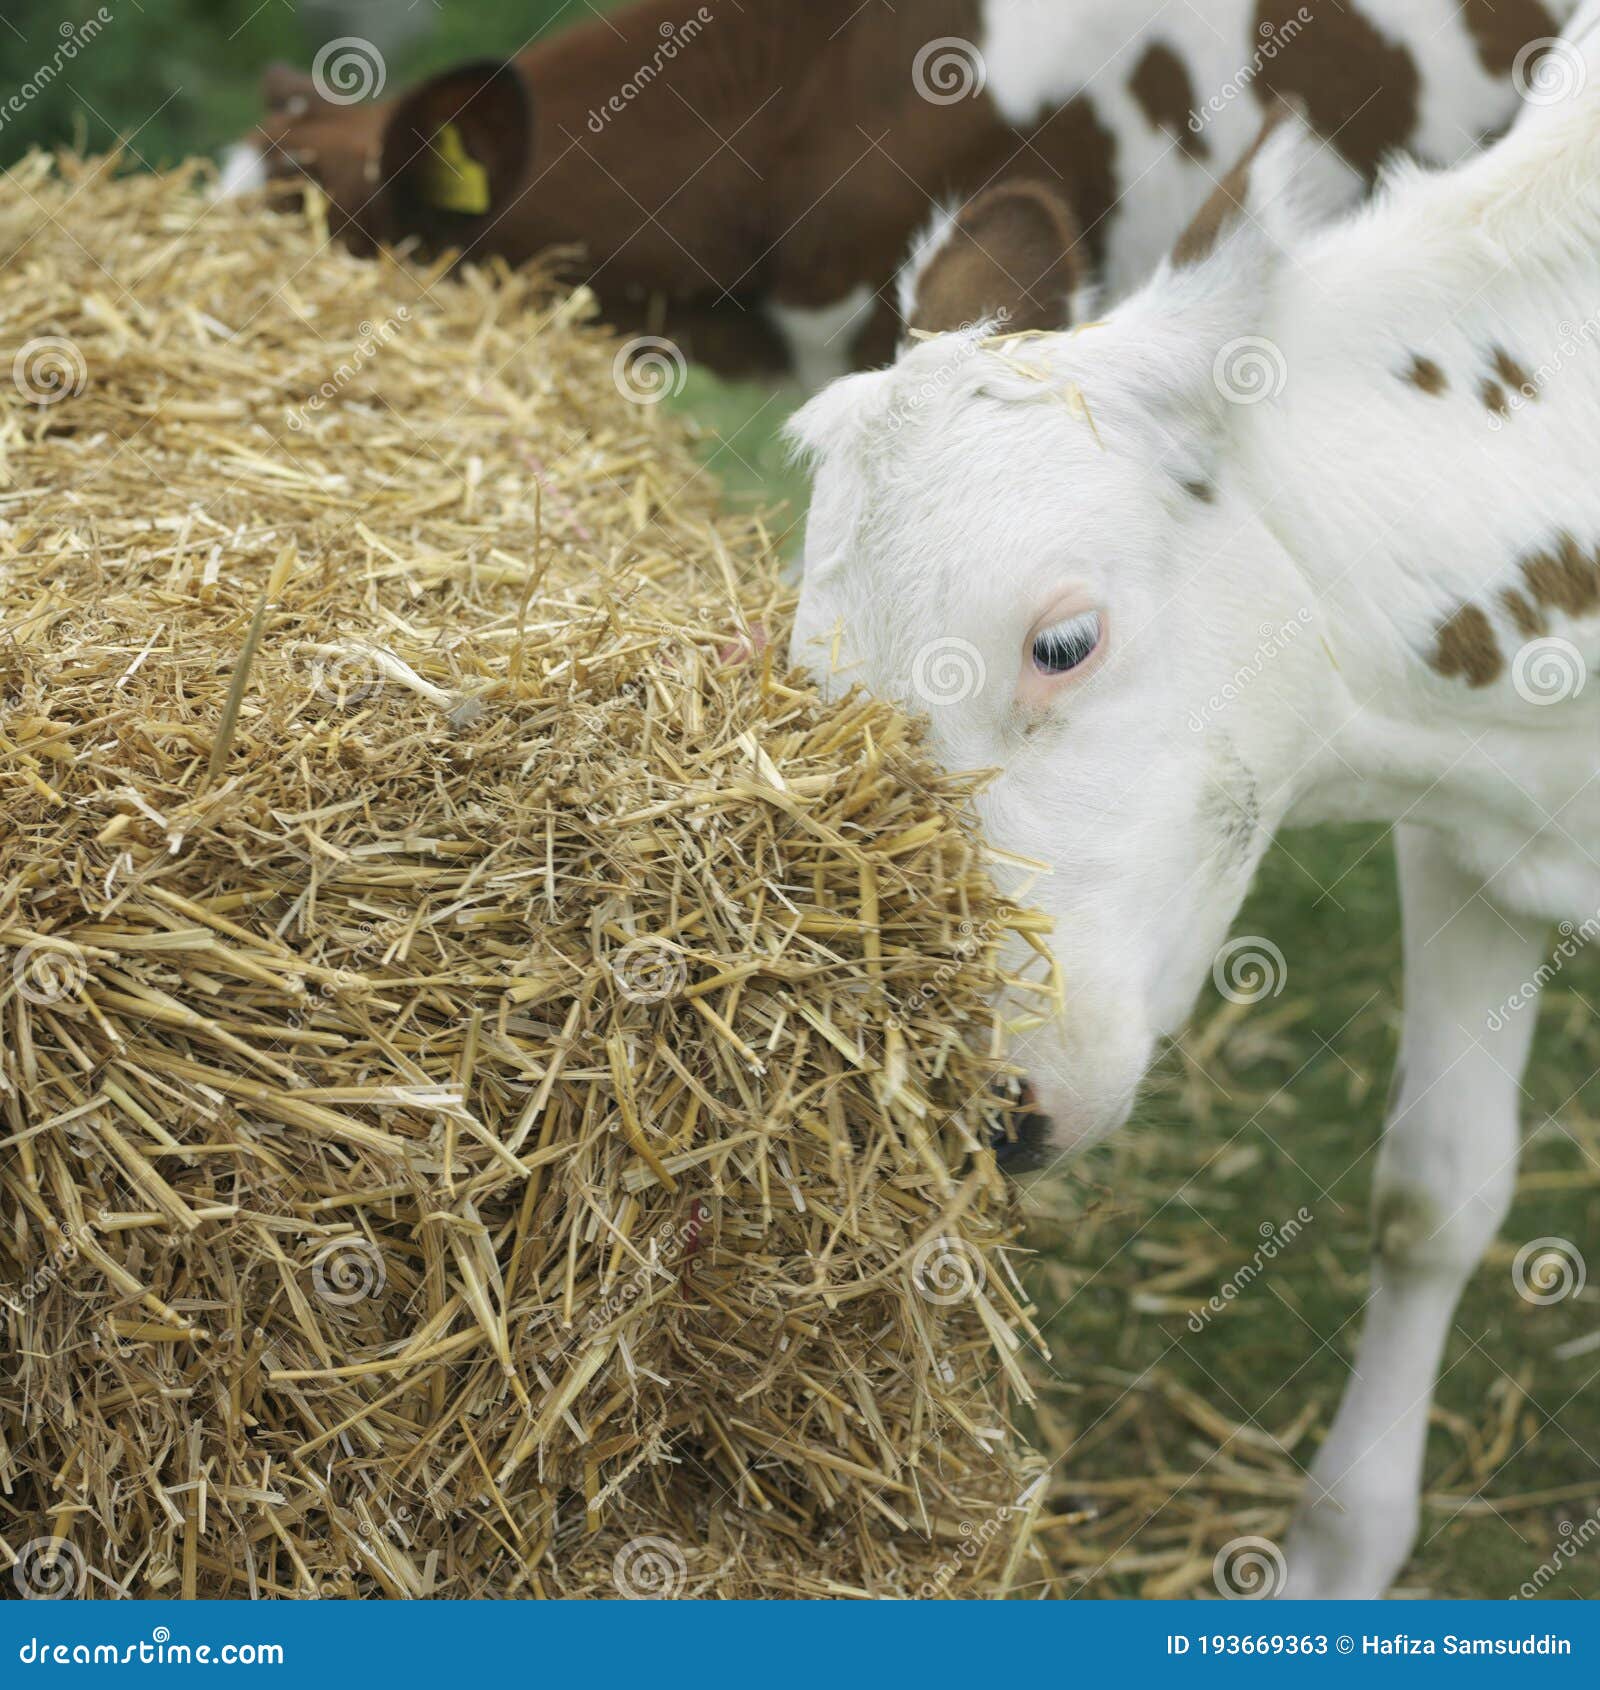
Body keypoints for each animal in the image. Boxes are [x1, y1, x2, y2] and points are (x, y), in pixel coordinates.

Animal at [783, 4, 1600, 1598]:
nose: (980, 1107)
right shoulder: (1466, 842)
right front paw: (1341, 1551)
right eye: (807, 681)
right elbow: (1434, 1189)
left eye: (1062, 642)